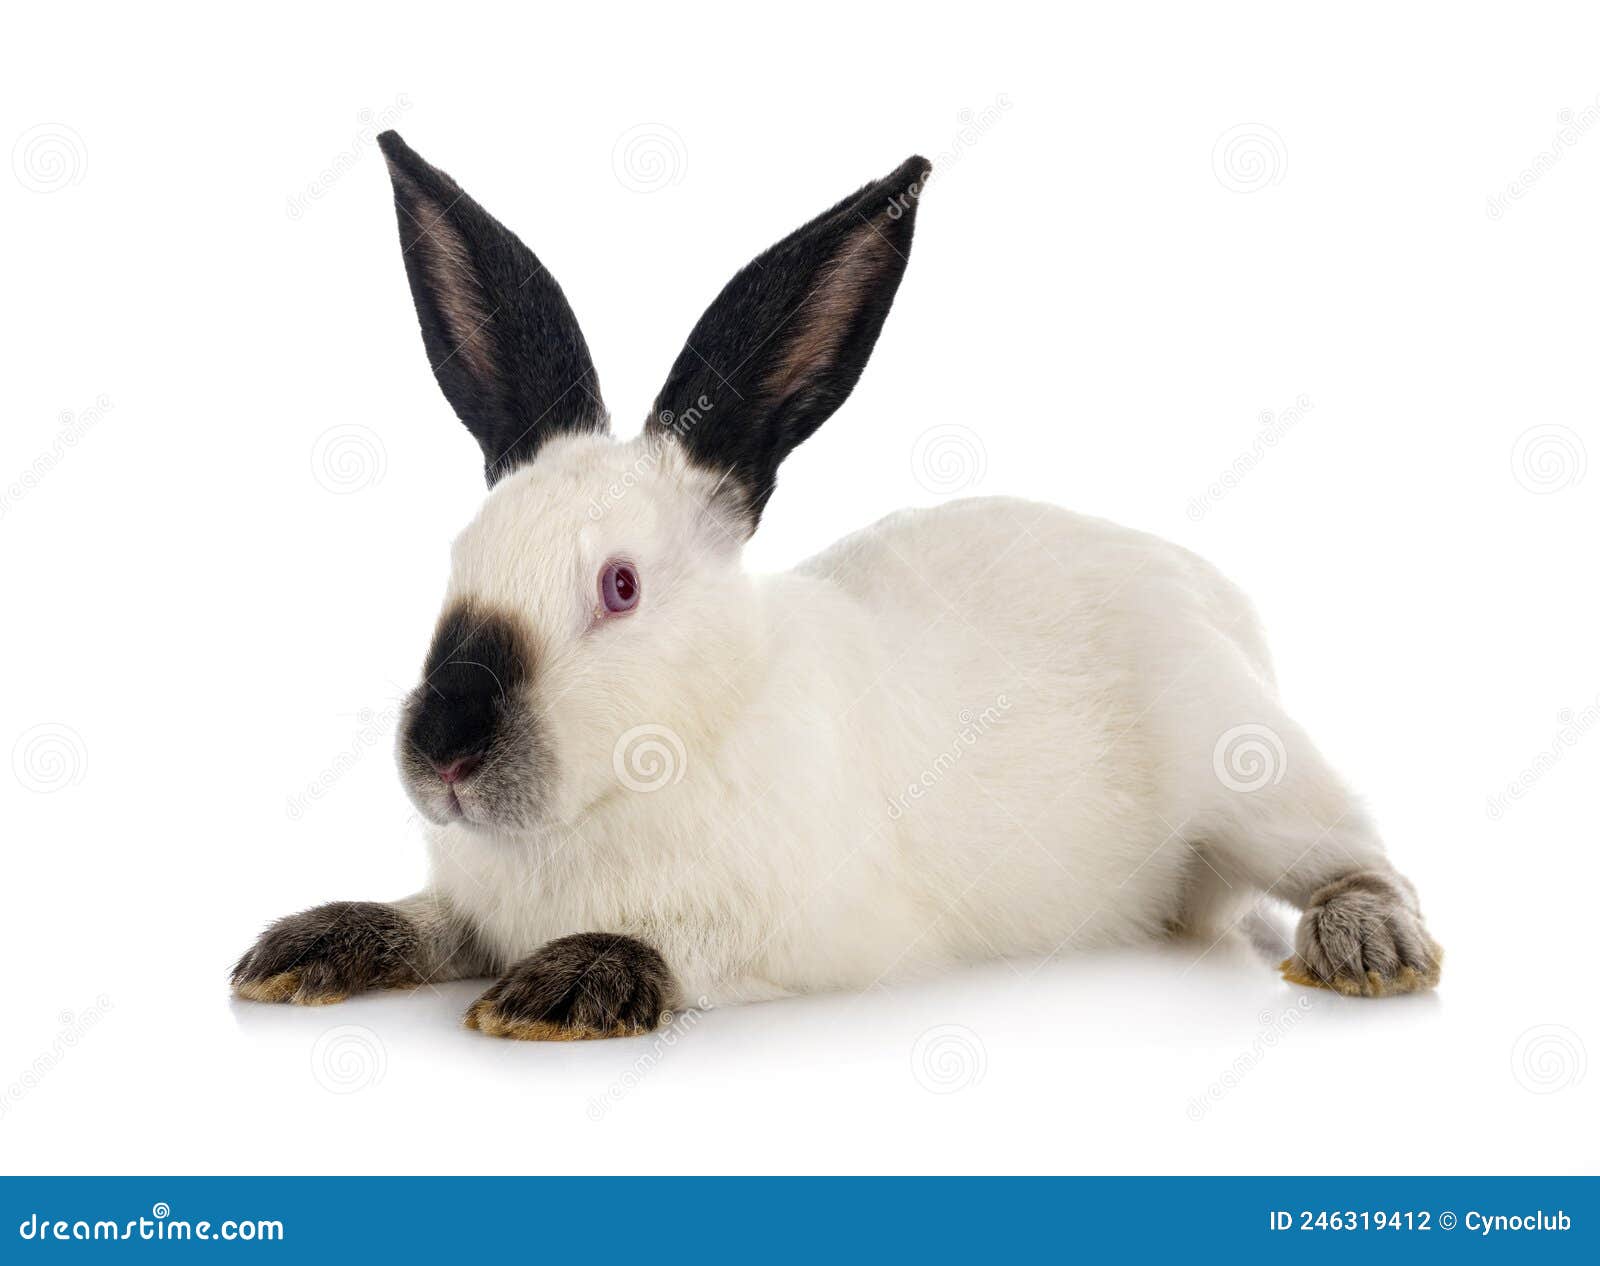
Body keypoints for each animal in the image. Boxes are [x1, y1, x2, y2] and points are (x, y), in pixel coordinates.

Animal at [231, 131, 1441, 1039]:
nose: (446, 754)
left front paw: (557, 991)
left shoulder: (798, 931)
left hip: (1246, 773)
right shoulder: (471, 907)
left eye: (619, 587)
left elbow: (672, 947)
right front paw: (304, 951)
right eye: (459, 557)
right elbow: (430, 923)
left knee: (1357, 855)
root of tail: (1211, 593)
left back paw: (1369, 952)